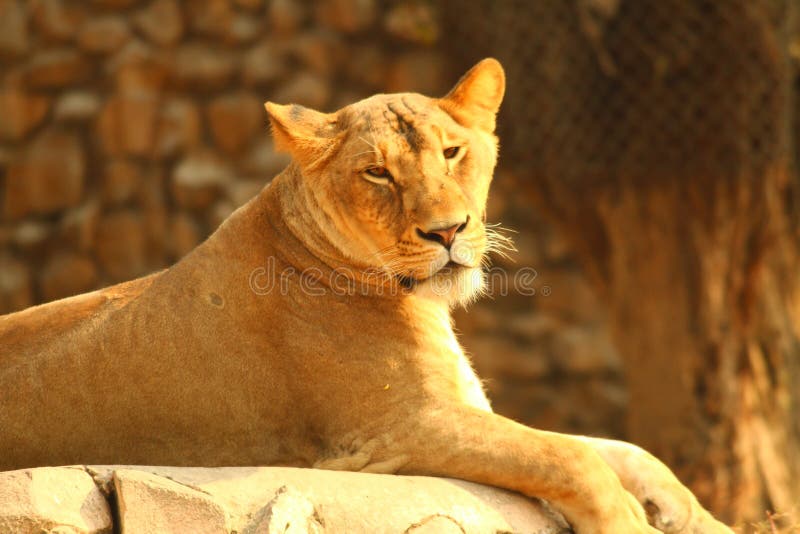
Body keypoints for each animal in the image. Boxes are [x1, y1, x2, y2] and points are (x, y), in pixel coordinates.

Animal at [0, 58, 730, 534]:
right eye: (378, 173)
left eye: (453, 152)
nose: (448, 231)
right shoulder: (400, 427)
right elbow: (569, 455)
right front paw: (632, 522)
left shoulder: (464, 406)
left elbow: (621, 449)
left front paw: (696, 517)